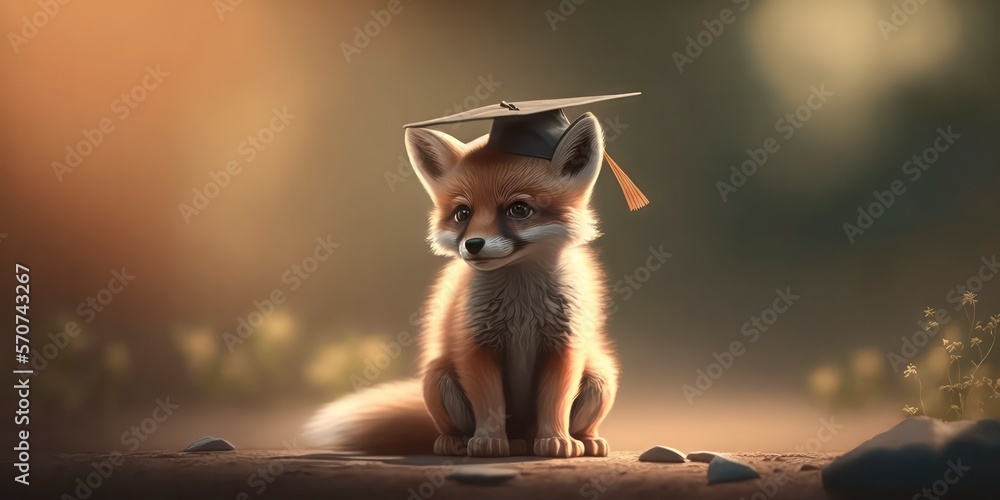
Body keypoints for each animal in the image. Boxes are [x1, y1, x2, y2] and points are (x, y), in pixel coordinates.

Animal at [304, 112, 619, 458]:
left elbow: (555, 402)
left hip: (601, 377)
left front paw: (557, 440)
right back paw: (458, 441)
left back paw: (585, 439)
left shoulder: (563, 344)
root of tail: (522, 434)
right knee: (452, 428)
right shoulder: (474, 344)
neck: (521, 306)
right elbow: (490, 403)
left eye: (519, 209)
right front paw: (489, 442)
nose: (473, 245)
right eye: (463, 213)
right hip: (436, 376)